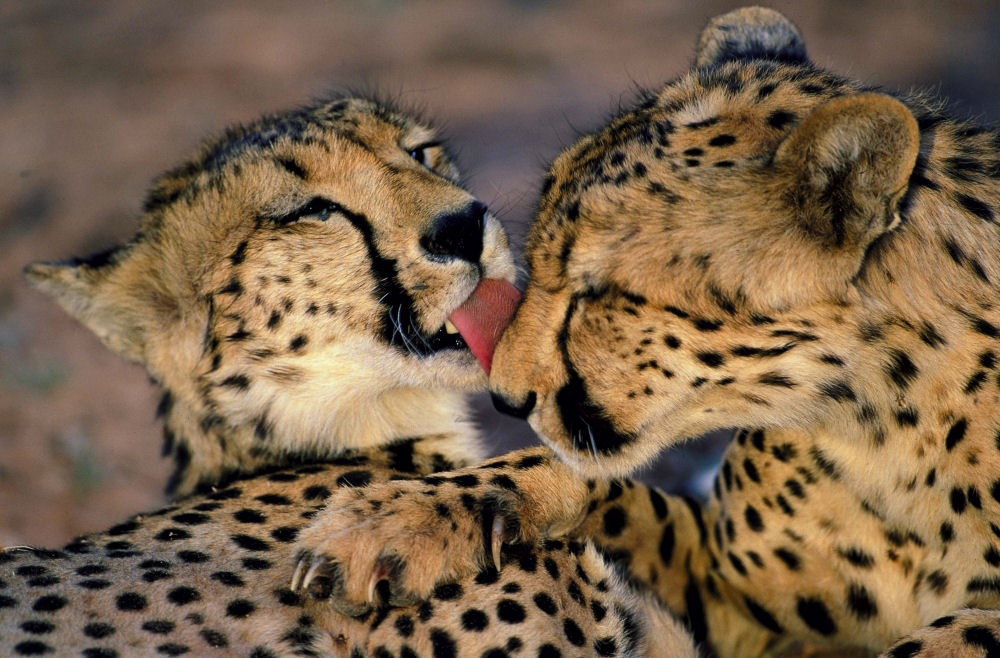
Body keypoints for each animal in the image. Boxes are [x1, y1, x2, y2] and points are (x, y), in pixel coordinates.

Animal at [289, 8, 1000, 657]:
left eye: (598, 294)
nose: (507, 398)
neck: (874, 423)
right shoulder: (727, 594)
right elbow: (587, 478)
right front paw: (394, 518)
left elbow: (951, 633)